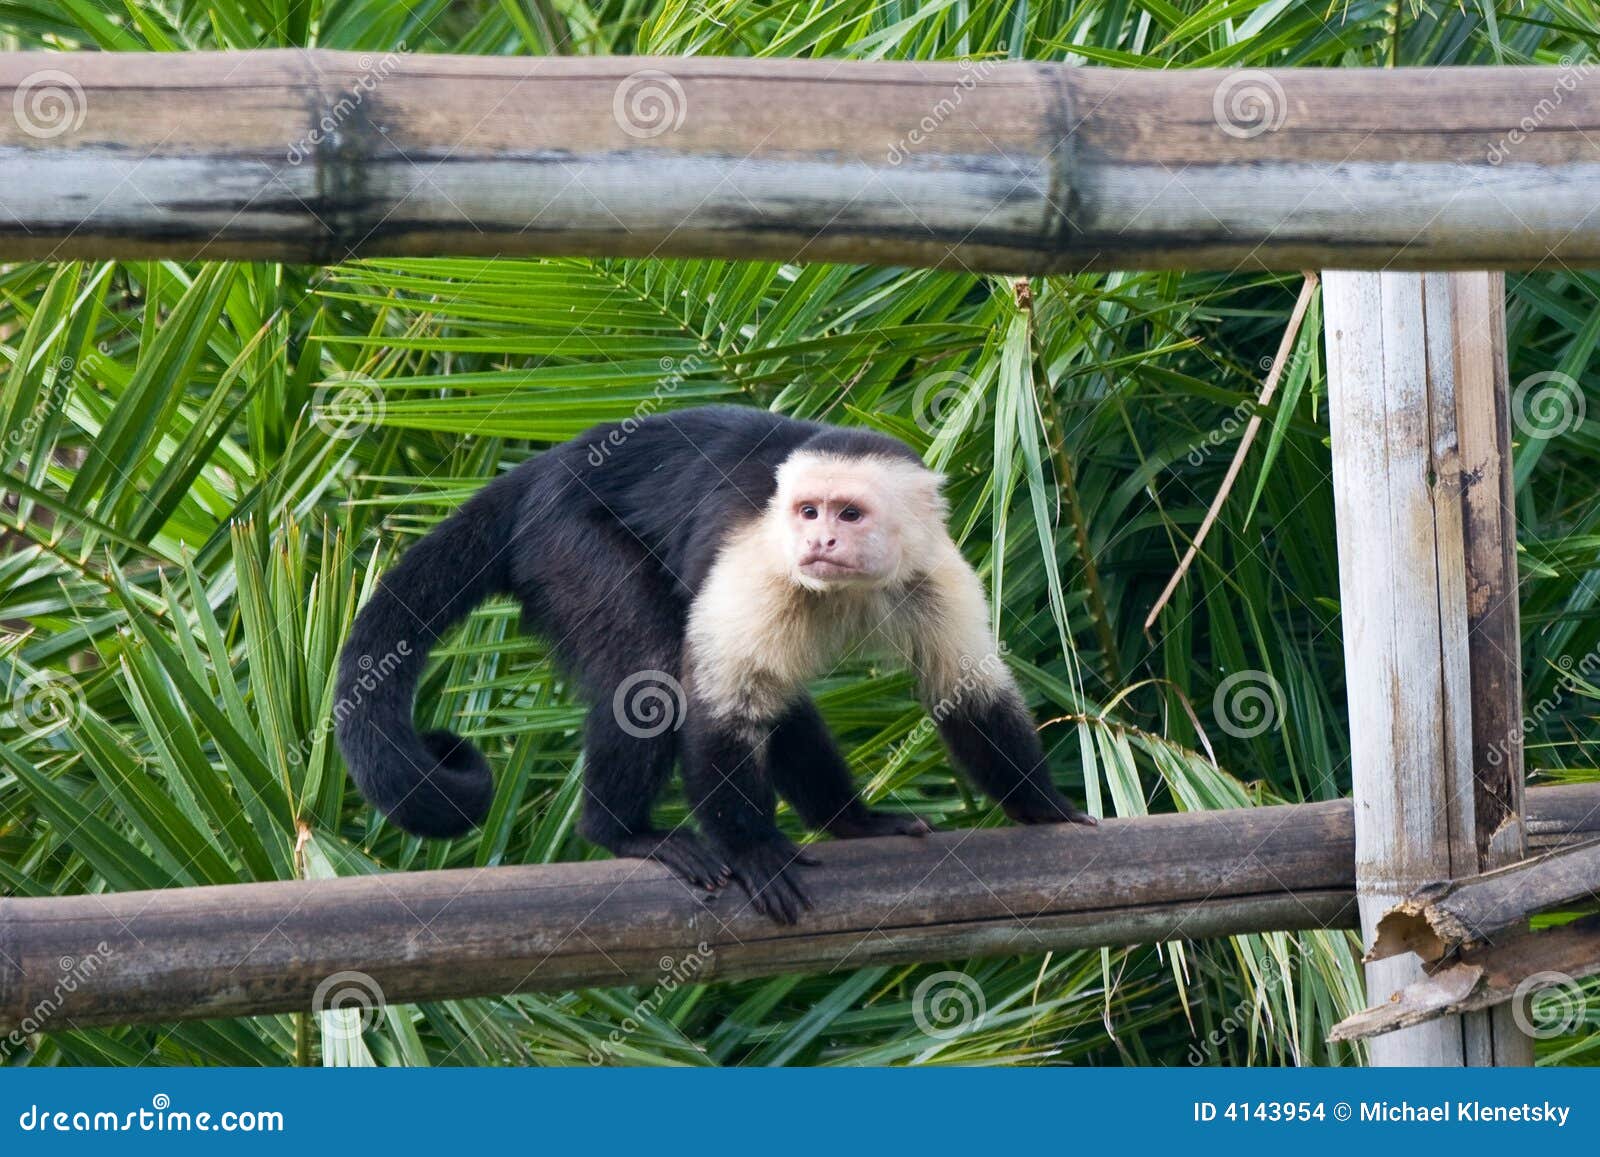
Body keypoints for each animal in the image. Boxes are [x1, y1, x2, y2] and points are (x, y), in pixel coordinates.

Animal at [334, 405, 1095, 924]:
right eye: (807, 511)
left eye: (848, 515)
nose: (818, 541)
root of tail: (549, 465)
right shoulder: (762, 562)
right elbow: (715, 704)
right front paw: (753, 850)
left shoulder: (933, 570)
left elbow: (966, 692)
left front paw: (1044, 805)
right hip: (564, 538)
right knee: (649, 667)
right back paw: (623, 832)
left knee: (777, 700)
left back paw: (851, 821)